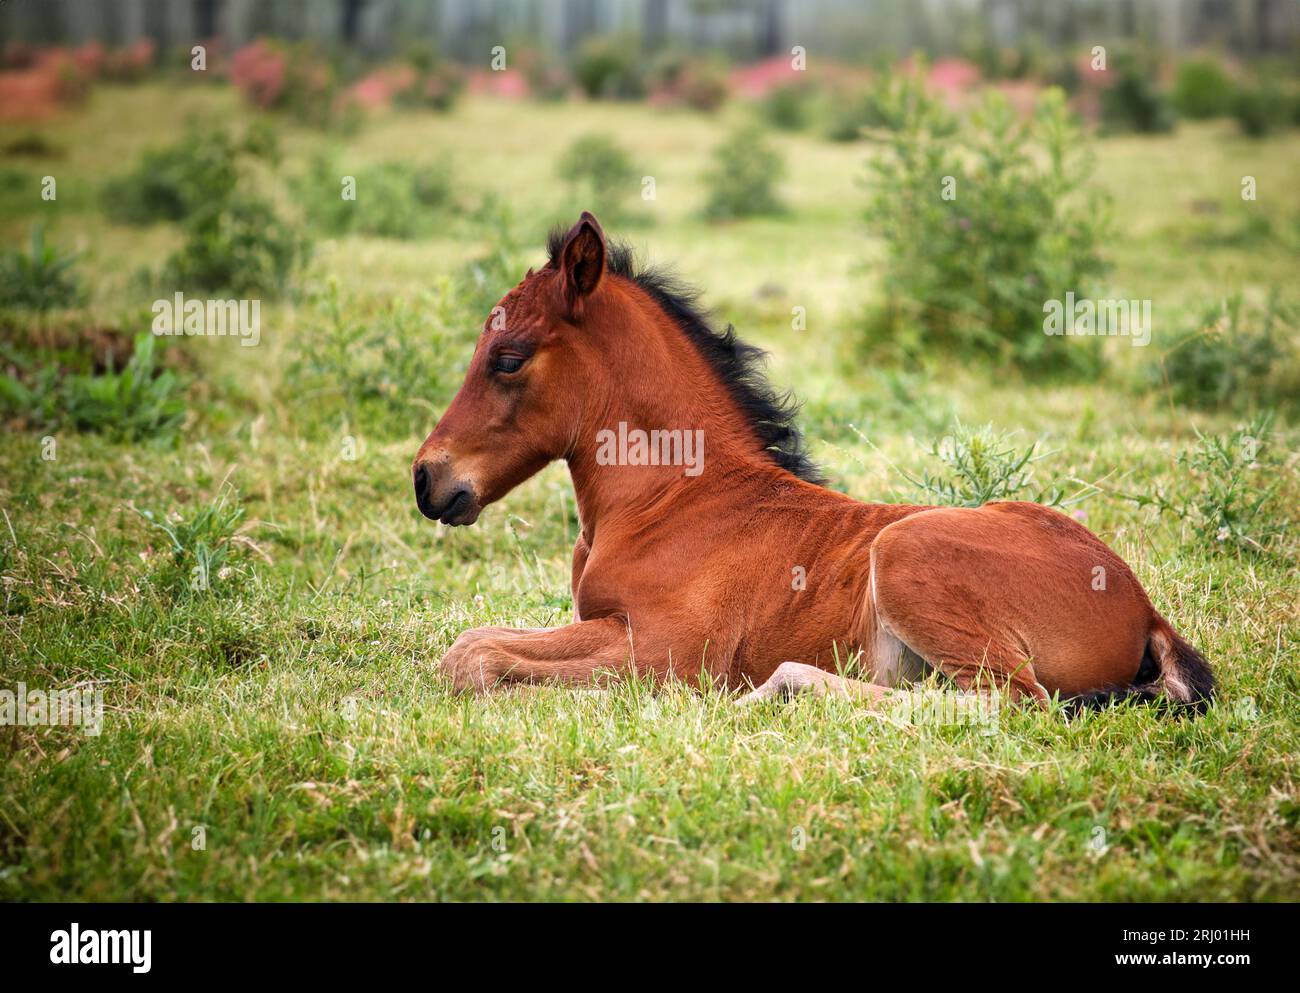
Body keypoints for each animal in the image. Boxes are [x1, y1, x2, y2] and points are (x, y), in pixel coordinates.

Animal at [412, 211, 1215, 712]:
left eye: (509, 357)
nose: (427, 478)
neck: (670, 500)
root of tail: (1142, 604)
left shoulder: (665, 656)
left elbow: (472, 660)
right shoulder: (605, 624)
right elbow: (473, 642)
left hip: (905, 551)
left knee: (1011, 704)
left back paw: (781, 687)